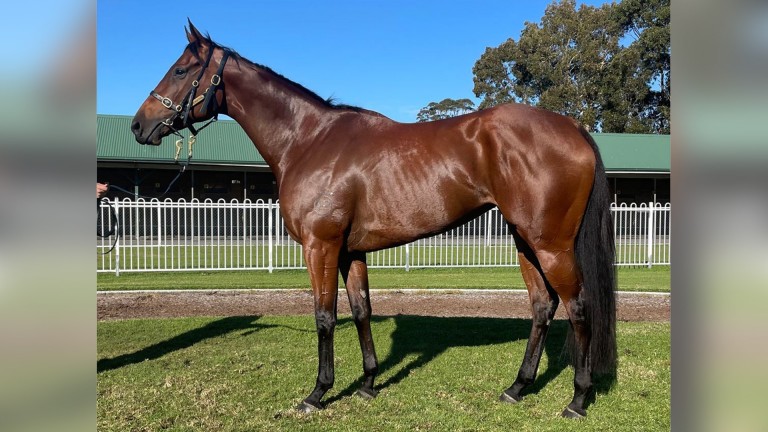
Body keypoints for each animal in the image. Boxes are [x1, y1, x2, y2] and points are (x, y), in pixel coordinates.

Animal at [131, 21, 617, 419]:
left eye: (180, 70)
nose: (139, 125)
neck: (309, 141)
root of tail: (573, 126)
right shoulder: (351, 252)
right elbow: (362, 310)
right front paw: (367, 383)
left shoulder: (321, 247)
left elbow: (325, 316)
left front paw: (317, 394)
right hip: (524, 241)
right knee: (542, 306)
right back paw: (517, 387)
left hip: (551, 245)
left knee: (578, 308)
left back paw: (577, 399)